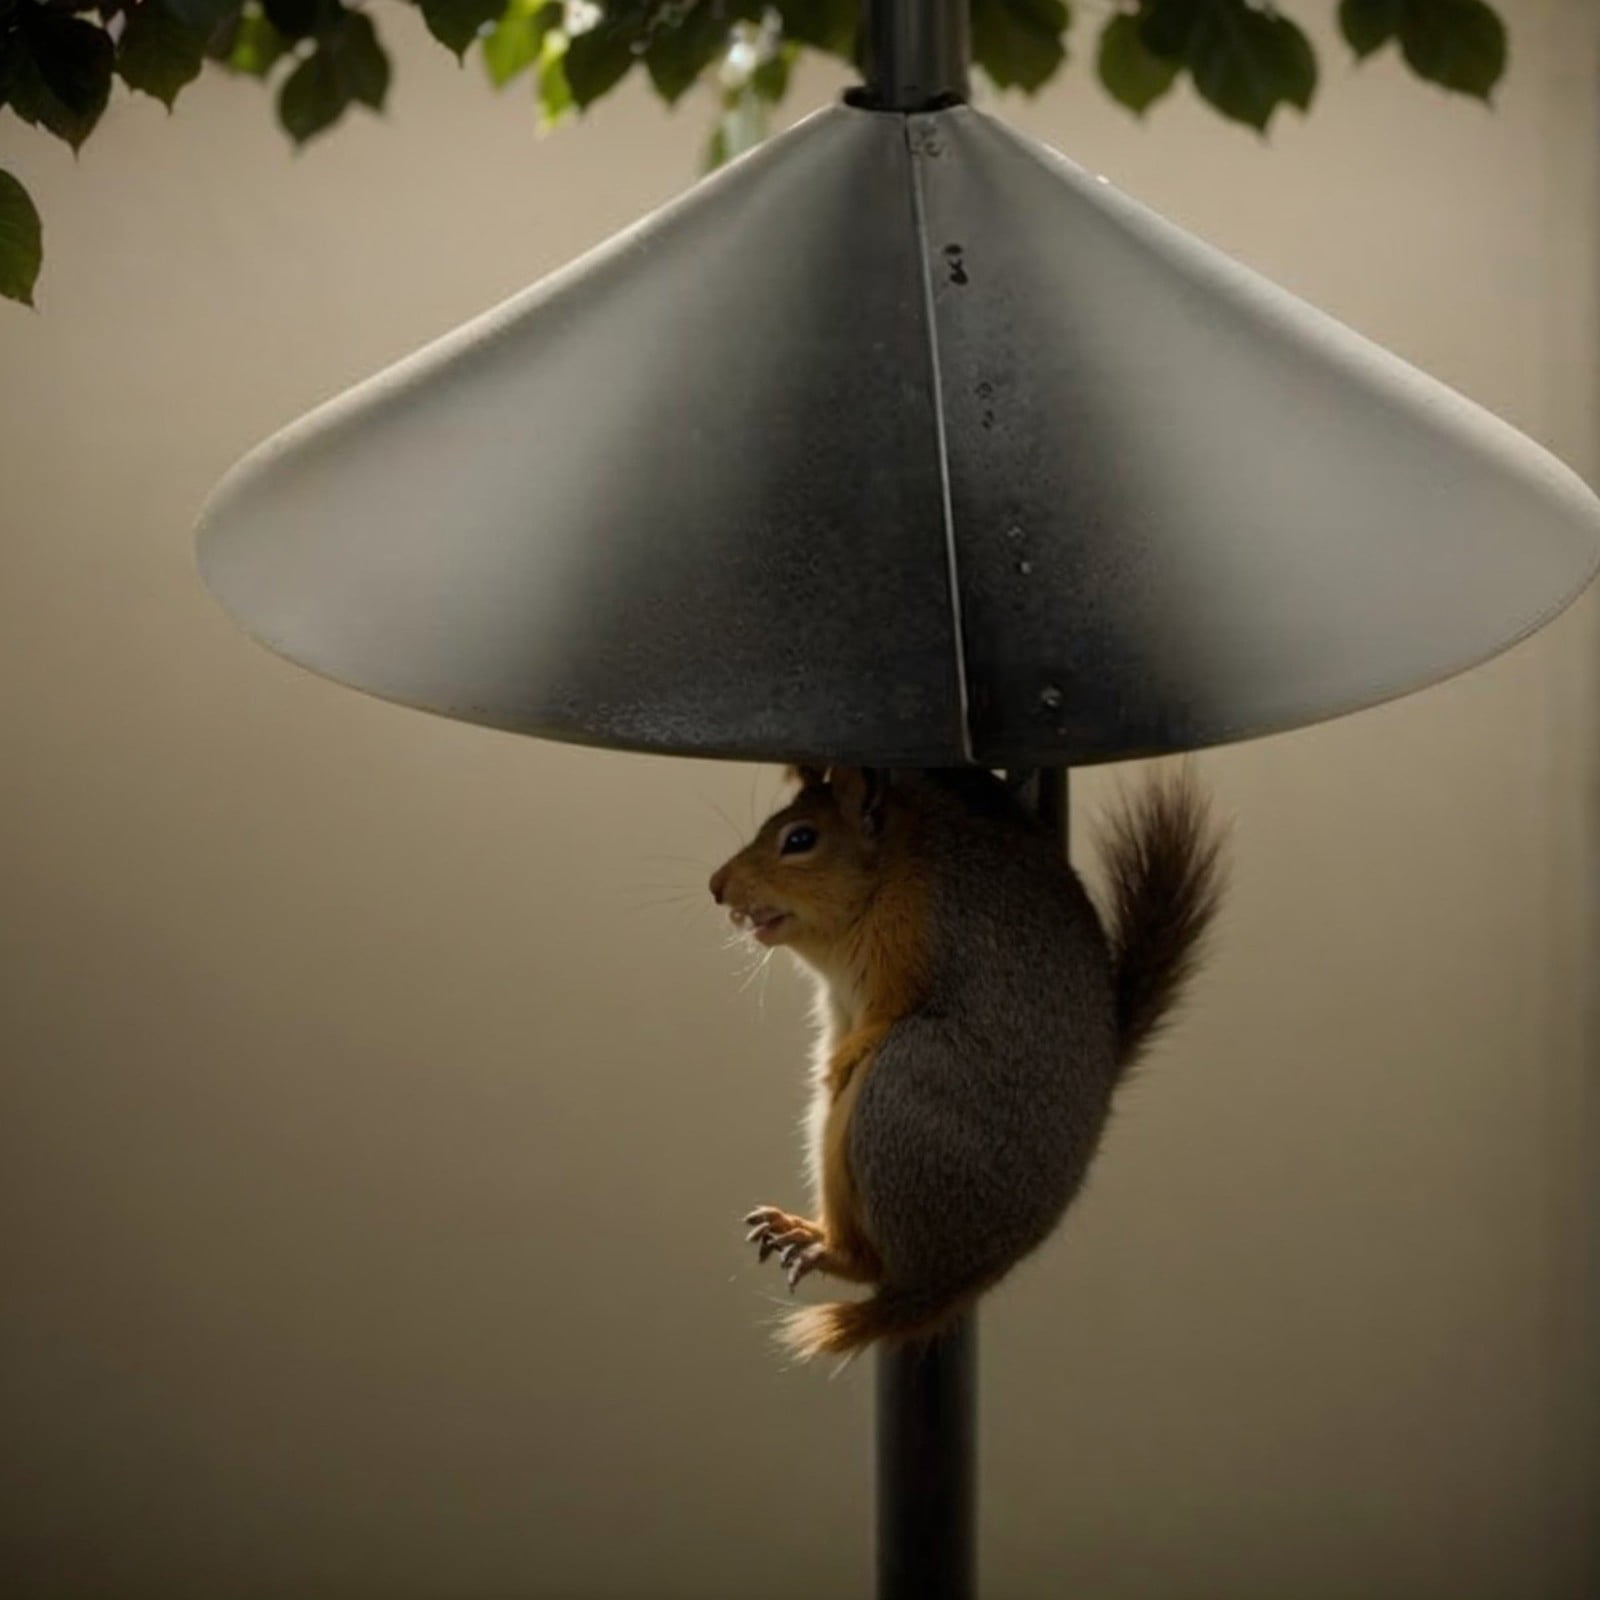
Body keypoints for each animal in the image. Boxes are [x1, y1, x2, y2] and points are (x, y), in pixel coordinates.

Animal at [708, 763, 1224, 1361]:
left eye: (800, 840)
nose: (717, 886)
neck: (886, 875)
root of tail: (959, 1280)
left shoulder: (923, 944)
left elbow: (885, 1020)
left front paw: (842, 1060)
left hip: (900, 1092)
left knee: (869, 1262)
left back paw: (825, 1243)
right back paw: (801, 1229)